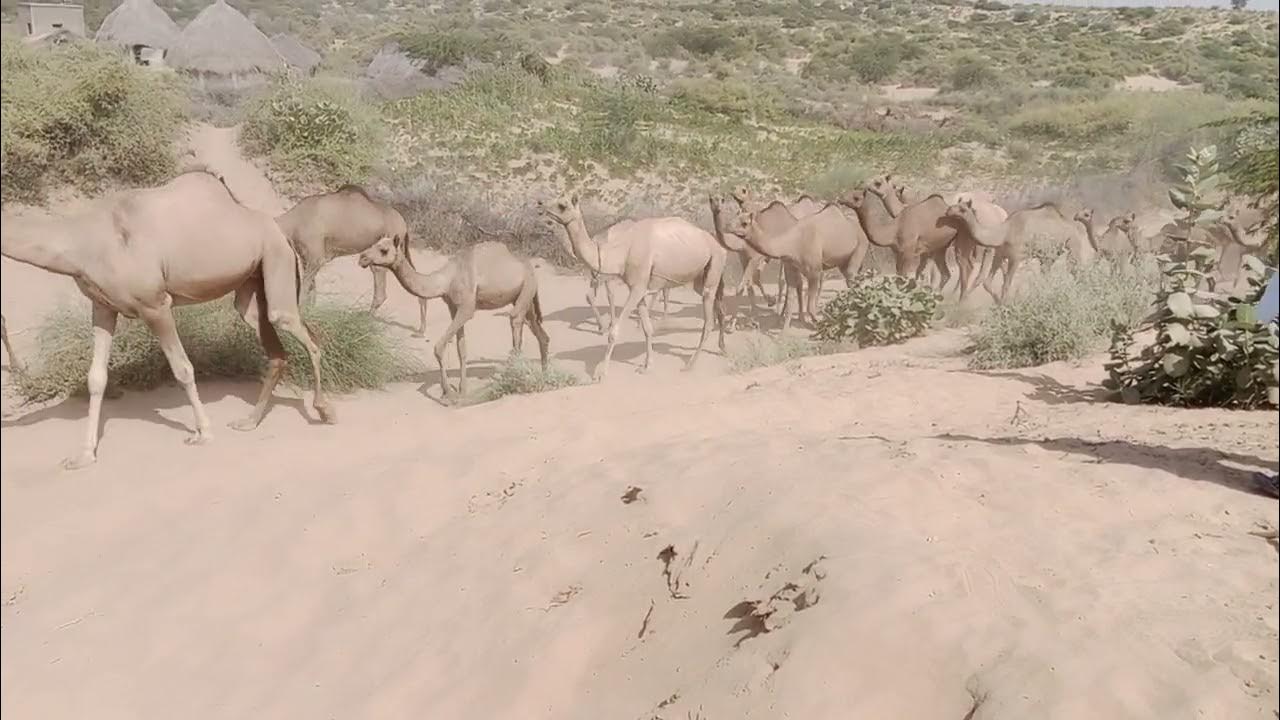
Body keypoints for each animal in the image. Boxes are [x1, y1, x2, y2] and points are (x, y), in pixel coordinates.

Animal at [0, 170, 332, 469]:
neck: (82, 243)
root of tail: (276, 226)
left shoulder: (155, 305)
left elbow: (183, 368)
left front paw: (203, 433)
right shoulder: (102, 306)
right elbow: (96, 378)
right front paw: (83, 456)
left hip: (277, 256)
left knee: (300, 330)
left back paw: (324, 411)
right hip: (251, 283)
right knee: (272, 344)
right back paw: (249, 421)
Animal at [276, 185, 430, 337]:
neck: (294, 222)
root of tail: (404, 225)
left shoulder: (315, 257)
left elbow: (303, 291)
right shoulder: (306, 258)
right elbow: (311, 289)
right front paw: (310, 312)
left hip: (382, 255)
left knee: (381, 291)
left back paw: (364, 321)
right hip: (399, 250)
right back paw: (421, 329)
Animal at [358, 236, 549, 403]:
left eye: (383, 250)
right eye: (374, 244)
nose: (362, 258)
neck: (446, 279)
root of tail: (530, 268)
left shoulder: (467, 308)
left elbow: (439, 347)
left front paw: (447, 392)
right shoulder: (453, 307)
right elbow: (461, 349)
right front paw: (462, 390)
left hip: (527, 288)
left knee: (515, 320)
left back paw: (513, 379)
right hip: (525, 297)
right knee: (540, 333)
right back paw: (545, 377)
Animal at [538, 194, 727, 381]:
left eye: (562, 205)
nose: (540, 205)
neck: (620, 251)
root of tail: (717, 243)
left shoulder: (637, 287)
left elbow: (614, 331)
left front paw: (601, 373)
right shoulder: (638, 288)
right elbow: (647, 329)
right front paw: (647, 366)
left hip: (715, 263)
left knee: (708, 321)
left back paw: (690, 365)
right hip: (700, 277)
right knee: (717, 305)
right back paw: (722, 348)